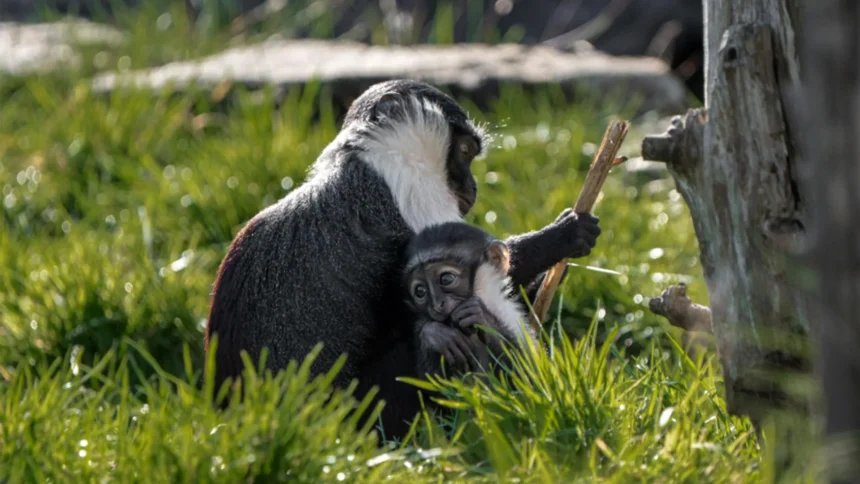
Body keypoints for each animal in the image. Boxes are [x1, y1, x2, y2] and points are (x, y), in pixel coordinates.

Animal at [401, 222, 538, 380]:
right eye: (420, 291)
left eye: (446, 279)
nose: (437, 305)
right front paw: (434, 335)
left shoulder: (510, 316)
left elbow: (530, 378)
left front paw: (484, 320)